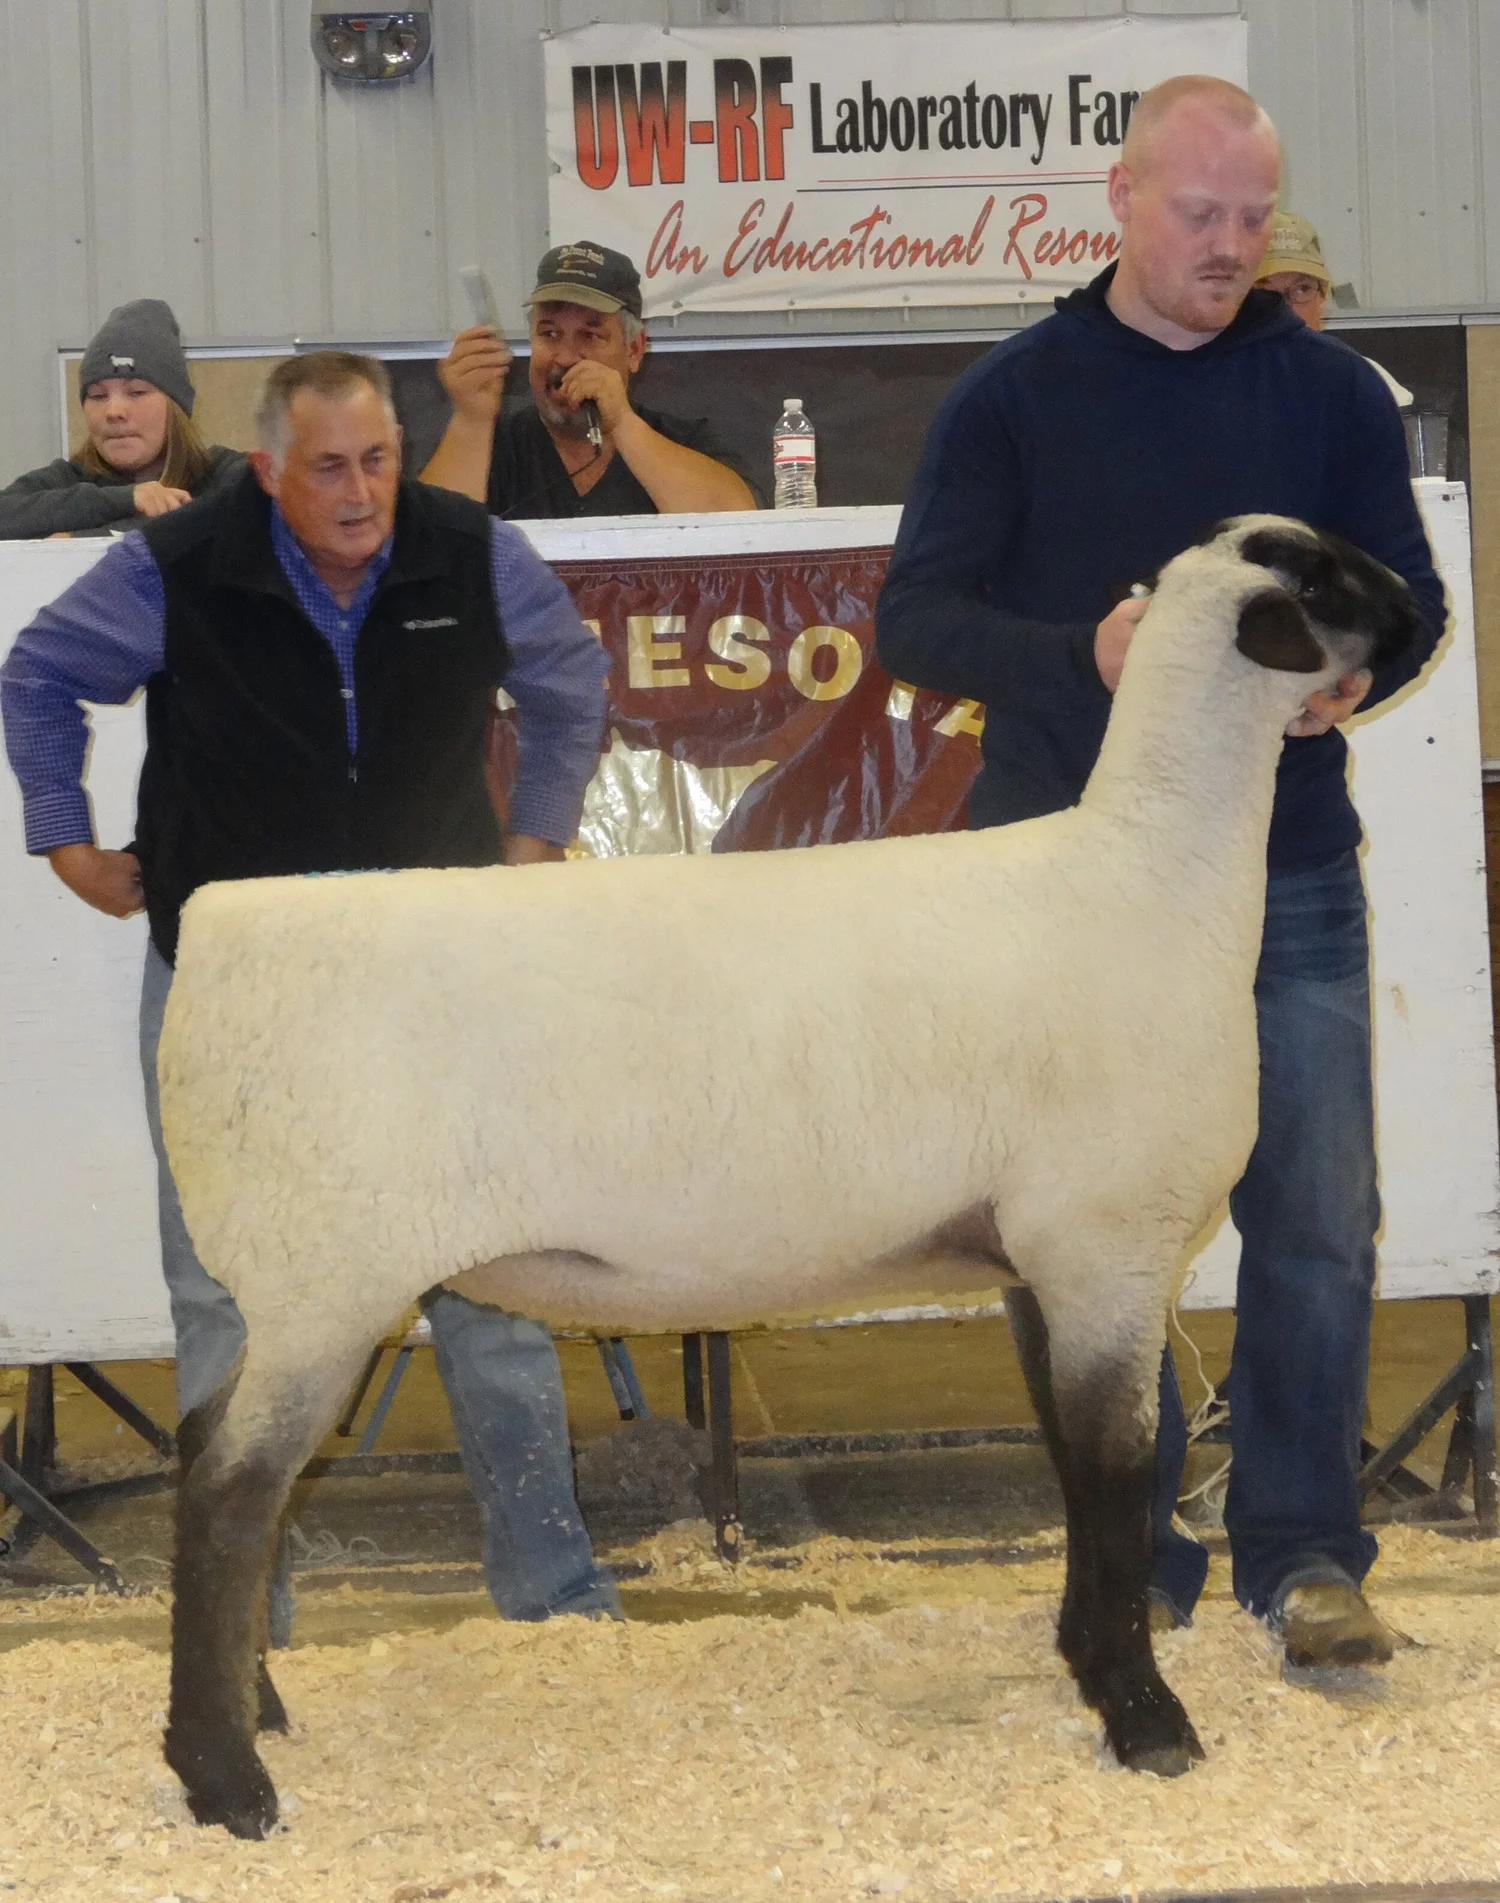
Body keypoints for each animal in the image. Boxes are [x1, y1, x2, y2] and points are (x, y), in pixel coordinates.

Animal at [155, 516, 1419, 1838]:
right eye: (1326, 576)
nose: (1421, 611)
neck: (1152, 873)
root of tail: (214, 928)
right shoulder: (1104, 1245)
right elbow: (1118, 1478)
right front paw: (1146, 1716)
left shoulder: (1038, 1262)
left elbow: (1075, 1468)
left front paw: (1088, 1662)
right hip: (326, 1281)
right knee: (232, 1497)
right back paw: (223, 1773)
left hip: (285, 1288)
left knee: (201, 1447)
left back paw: (256, 1707)